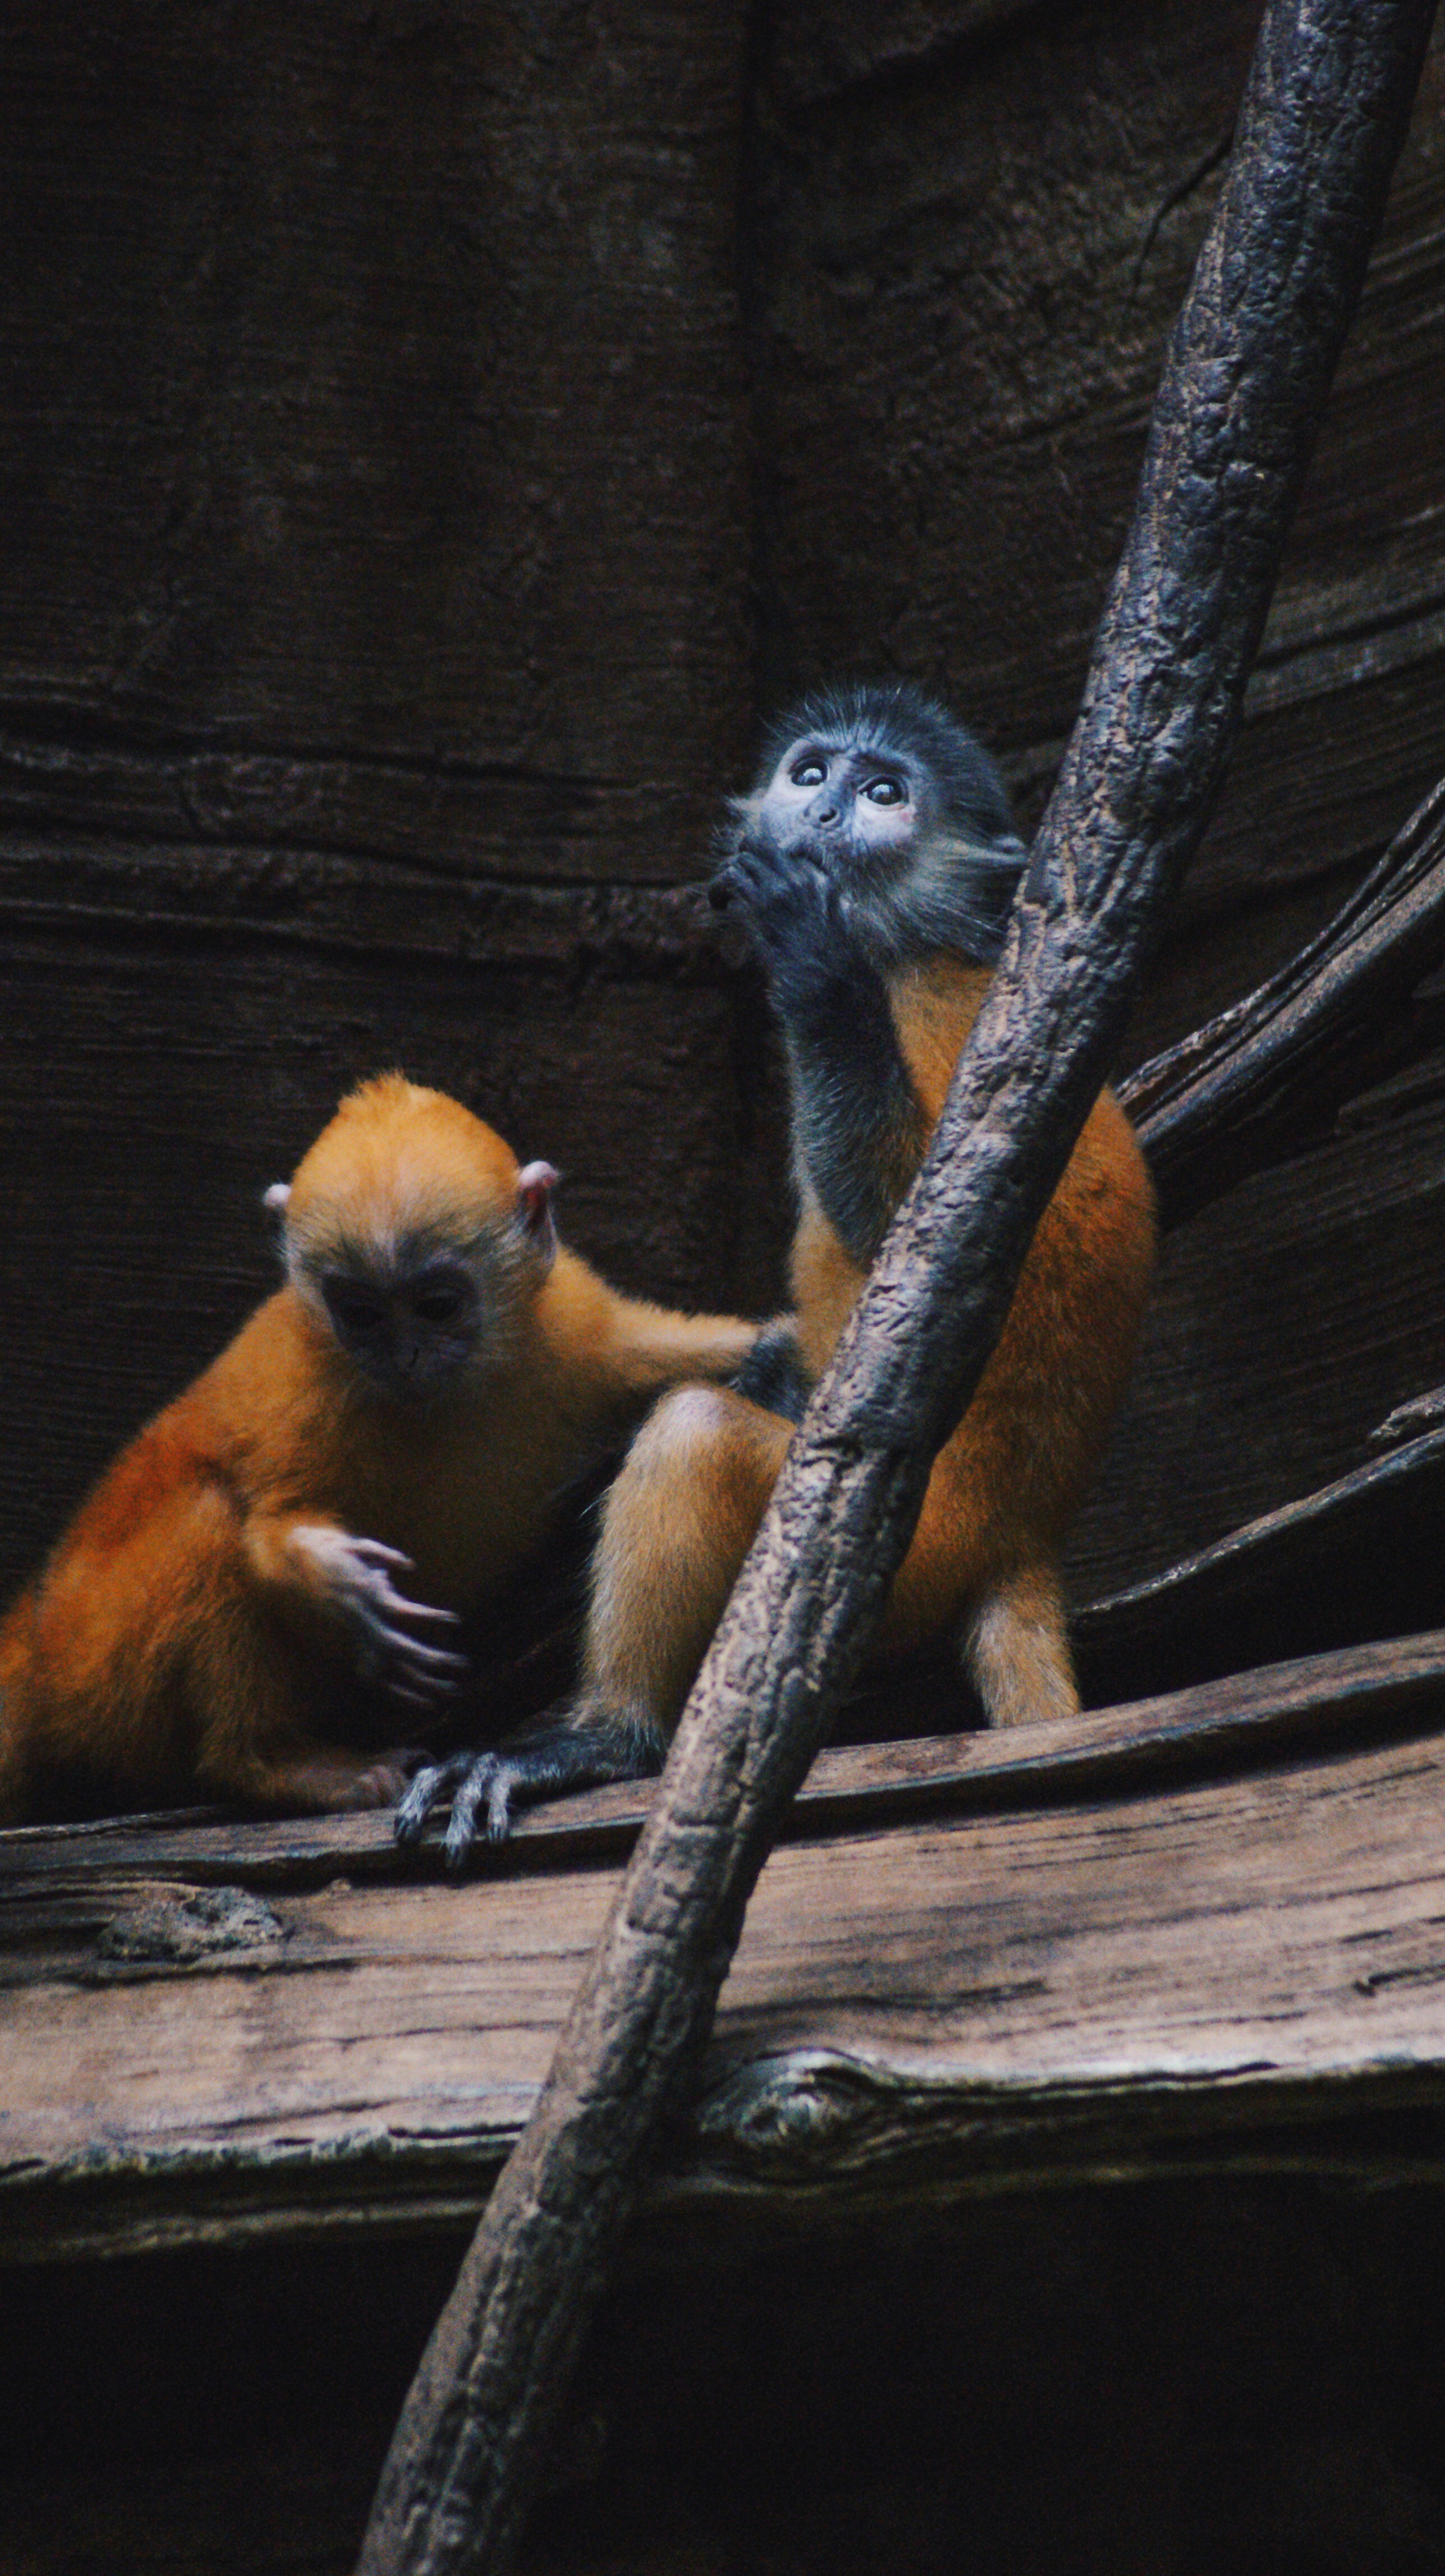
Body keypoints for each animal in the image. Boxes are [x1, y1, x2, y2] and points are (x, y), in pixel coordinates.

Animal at [0, 1075, 763, 1825]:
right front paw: (330, 1574)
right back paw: (271, 1763)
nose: (406, 1355)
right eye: (362, 1314)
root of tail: (35, 1645)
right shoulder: (299, 1384)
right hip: (95, 1665)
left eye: (436, 1305)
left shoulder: (579, 1323)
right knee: (208, 1515)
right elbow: (263, 1528)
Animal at [398, 682, 1156, 1862]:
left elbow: (939, 1252)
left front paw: (814, 959)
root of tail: (1019, 1531)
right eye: (811, 773)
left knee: (697, 1434)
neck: (920, 949)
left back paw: (606, 1737)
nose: (827, 813)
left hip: (913, 1557)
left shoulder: (945, 1018)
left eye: (885, 792)